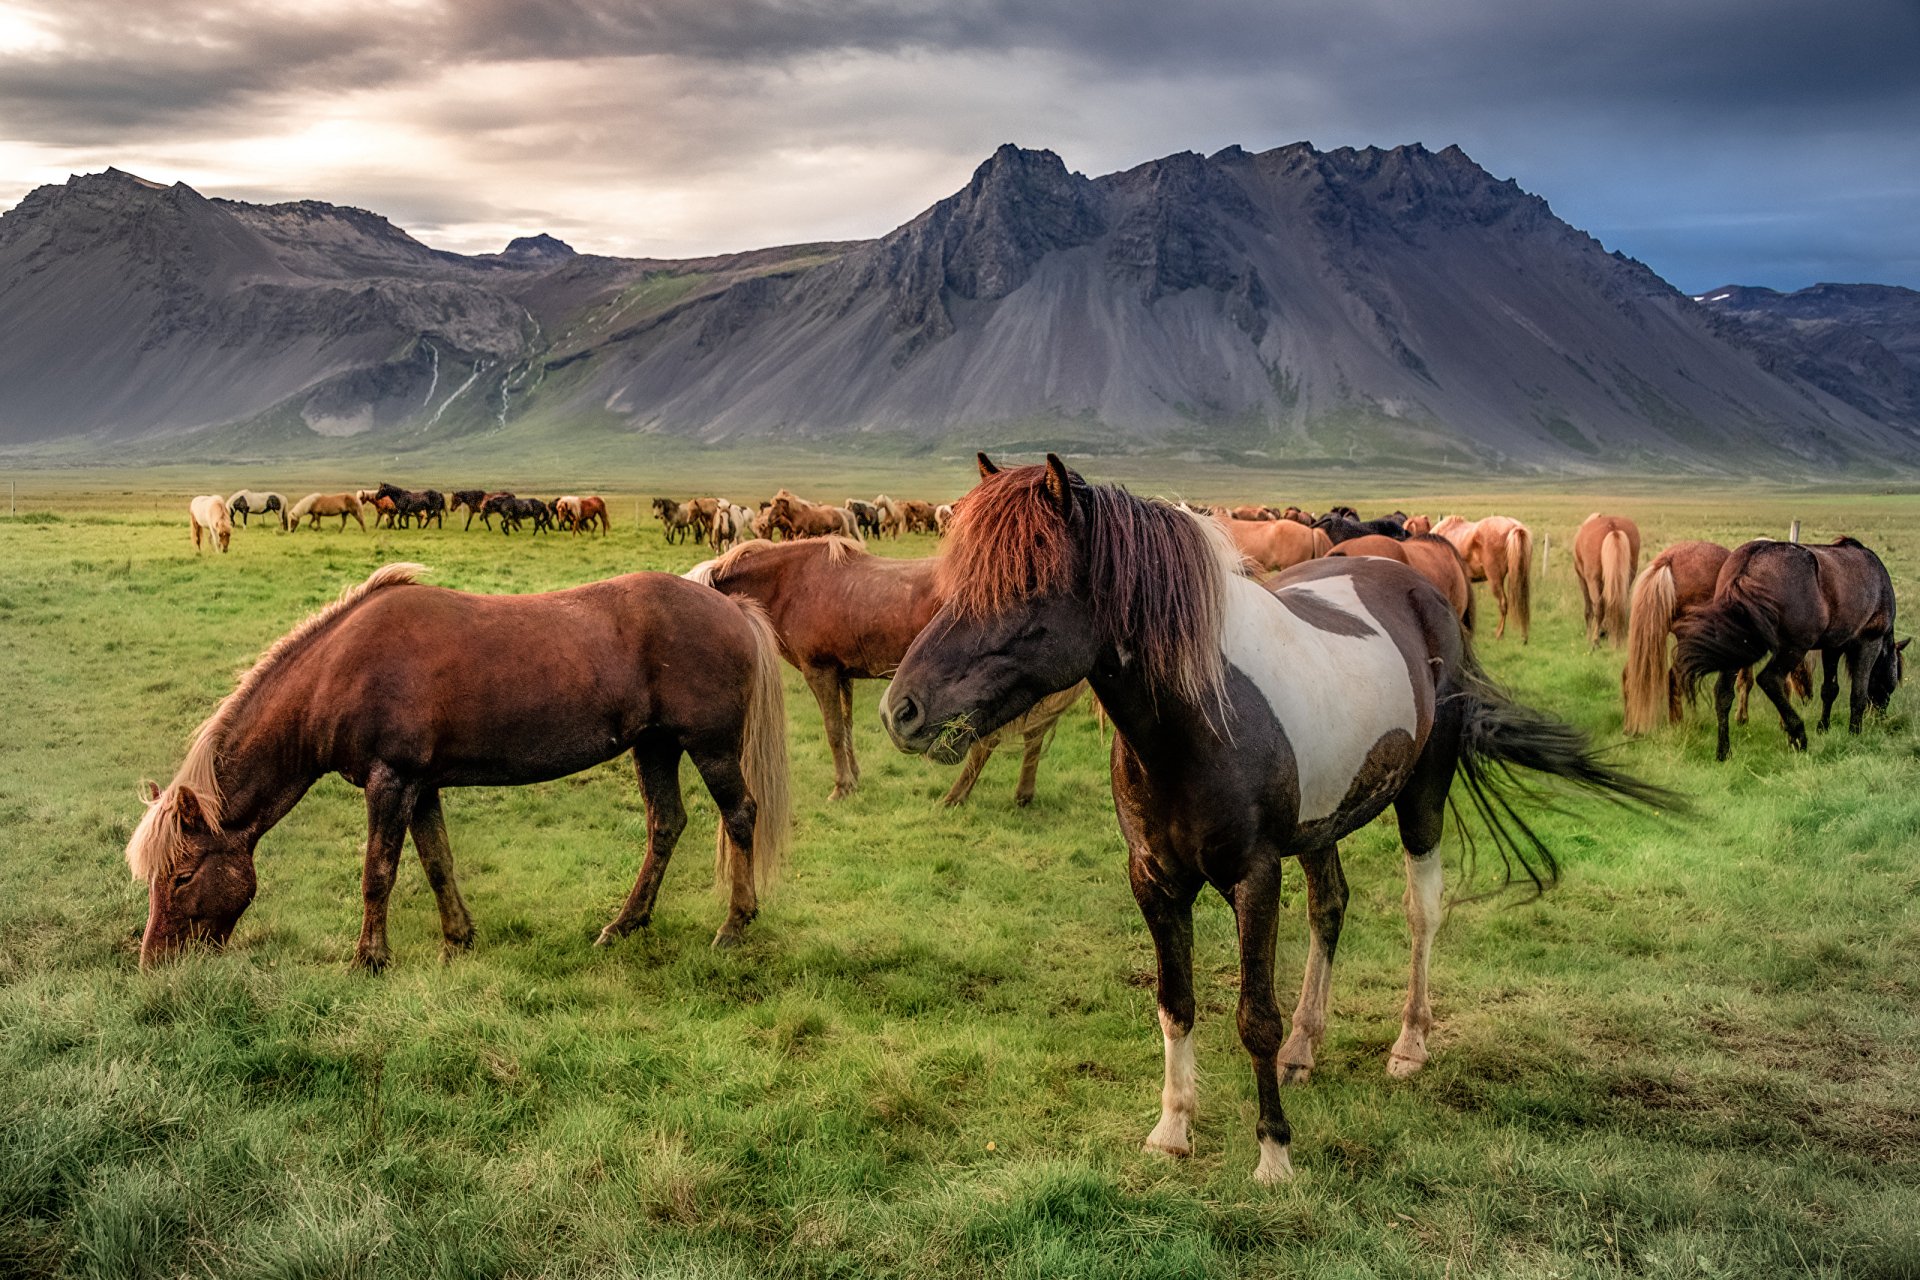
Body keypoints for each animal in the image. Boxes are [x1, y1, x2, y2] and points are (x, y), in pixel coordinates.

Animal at [126, 564, 791, 968]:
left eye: (181, 877)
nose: (155, 964)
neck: (339, 672)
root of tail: (729, 605)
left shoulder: (390, 781)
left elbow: (379, 873)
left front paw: (369, 959)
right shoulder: (420, 786)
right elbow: (437, 862)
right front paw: (458, 940)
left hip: (709, 747)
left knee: (739, 815)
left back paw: (735, 925)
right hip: (654, 747)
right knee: (665, 825)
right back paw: (624, 926)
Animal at [684, 537, 1078, 805]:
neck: (792, 583)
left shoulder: (820, 672)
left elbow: (832, 731)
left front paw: (841, 787)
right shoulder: (842, 674)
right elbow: (845, 727)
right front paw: (853, 779)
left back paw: (958, 796)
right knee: (1033, 736)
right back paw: (1020, 794)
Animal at [1574, 514, 1641, 649]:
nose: (1603, 634)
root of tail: (1613, 527)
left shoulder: (1583, 580)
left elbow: (1589, 609)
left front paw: (1588, 636)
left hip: (1592, 581)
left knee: (1599, 607)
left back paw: (1595, 641)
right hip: (1626, 580)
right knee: (1619, 604)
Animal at [1676, 537, 1903, 761]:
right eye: (1891, 682)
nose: (1881, 718)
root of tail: (1751, 561)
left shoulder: (1832, 647)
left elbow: (1829, 689)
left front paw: (1824, 727)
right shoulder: (1870, 642)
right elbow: (1858, 694)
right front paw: (1854, 733)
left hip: (1737, 645)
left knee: (1723, 693)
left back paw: (1724, 751)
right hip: (1793, 648)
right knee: (1769, 679)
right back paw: (1797, 734)